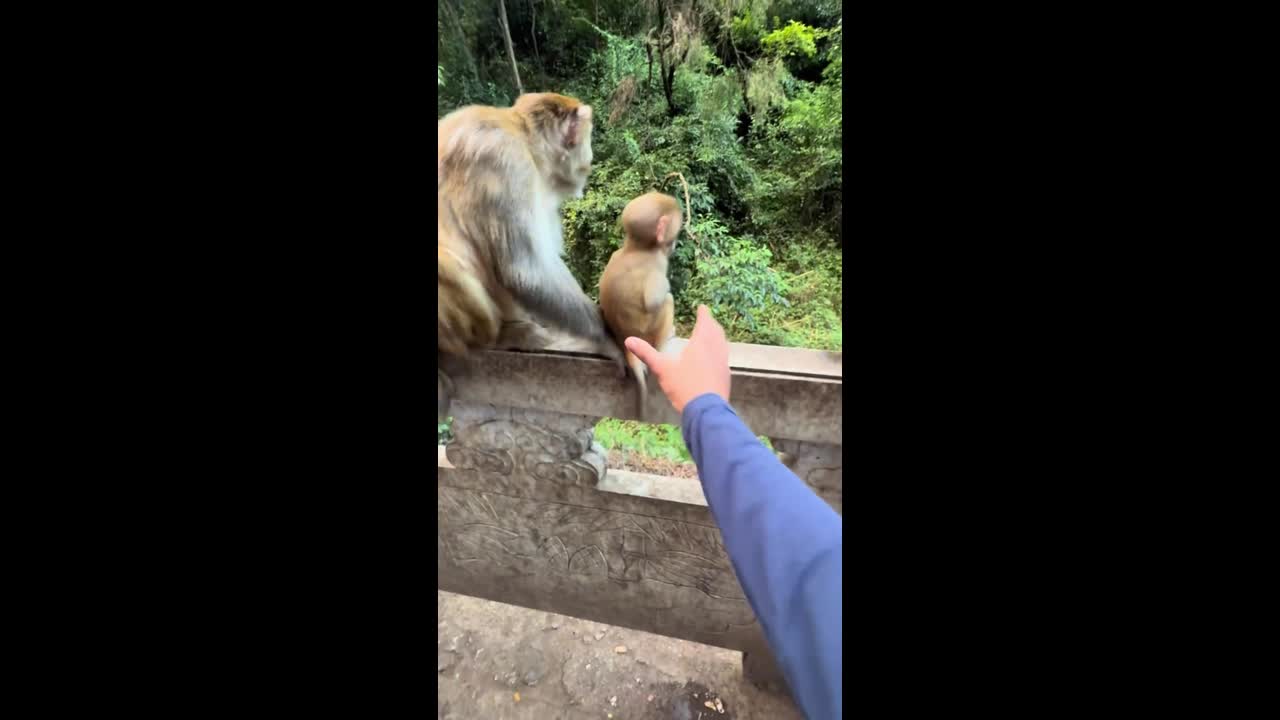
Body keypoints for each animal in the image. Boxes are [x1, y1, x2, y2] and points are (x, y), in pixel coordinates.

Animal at [437, 92, 625, 420]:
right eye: (587, 137)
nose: (590, 157)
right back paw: (499, 337)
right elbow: (524, 271)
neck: (523, 138)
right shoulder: (506, 162)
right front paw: (606, 337)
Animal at [597, 191, 683, 419]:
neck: (634, 249)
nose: (674, 244)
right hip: (648, 334)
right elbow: (655, 301)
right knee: (667, 301)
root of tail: (625, 340)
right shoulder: (658, 263)